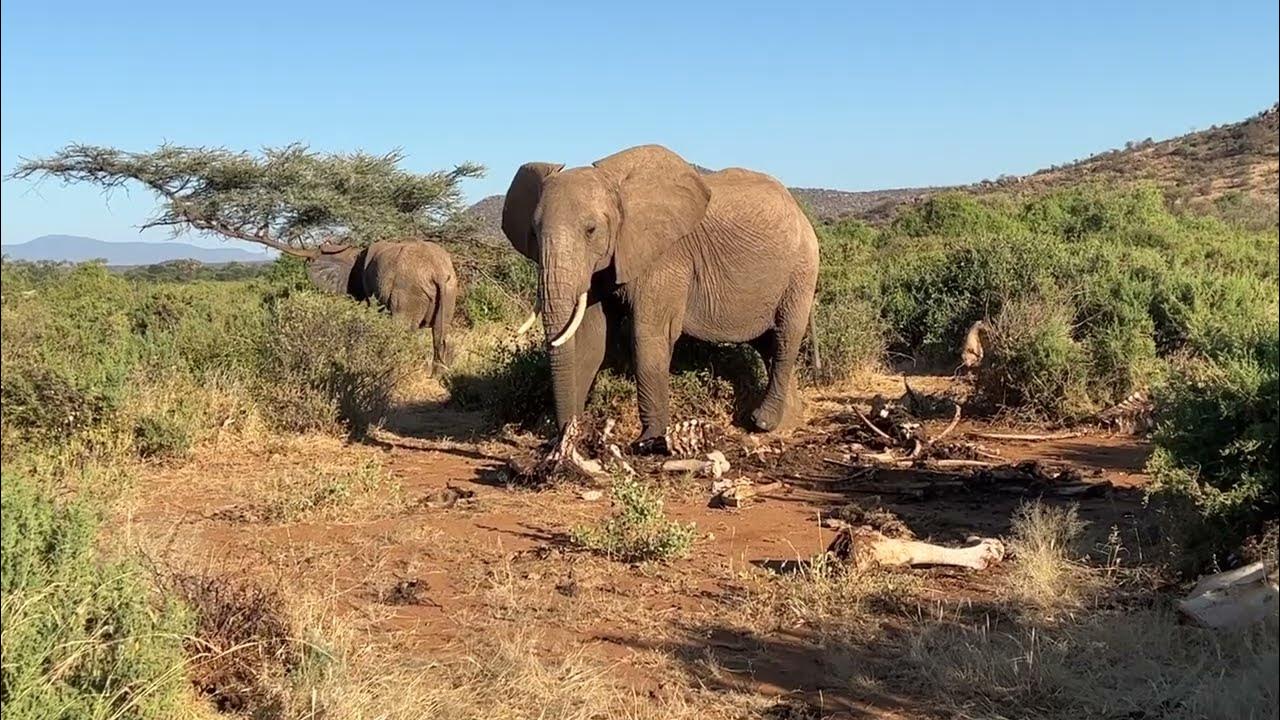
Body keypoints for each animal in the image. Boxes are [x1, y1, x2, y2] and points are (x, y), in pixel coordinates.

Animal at [271, 240, 458, 374]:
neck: (356, 253)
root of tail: (437, 271)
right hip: (449, 291)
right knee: (441, 333)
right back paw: (437, 376)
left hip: (409, 292)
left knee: (402, 329)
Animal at [501, 144, 820, 450]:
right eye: (533, 232)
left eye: (591, 230)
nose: (565, 431)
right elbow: (591, 340)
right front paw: (571, 435)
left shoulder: (666, 257)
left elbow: (648, 336)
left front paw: (649, 440)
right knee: (767, 343)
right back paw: (786, 422)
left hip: (802, 269)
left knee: (785, 338)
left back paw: (764, 421)